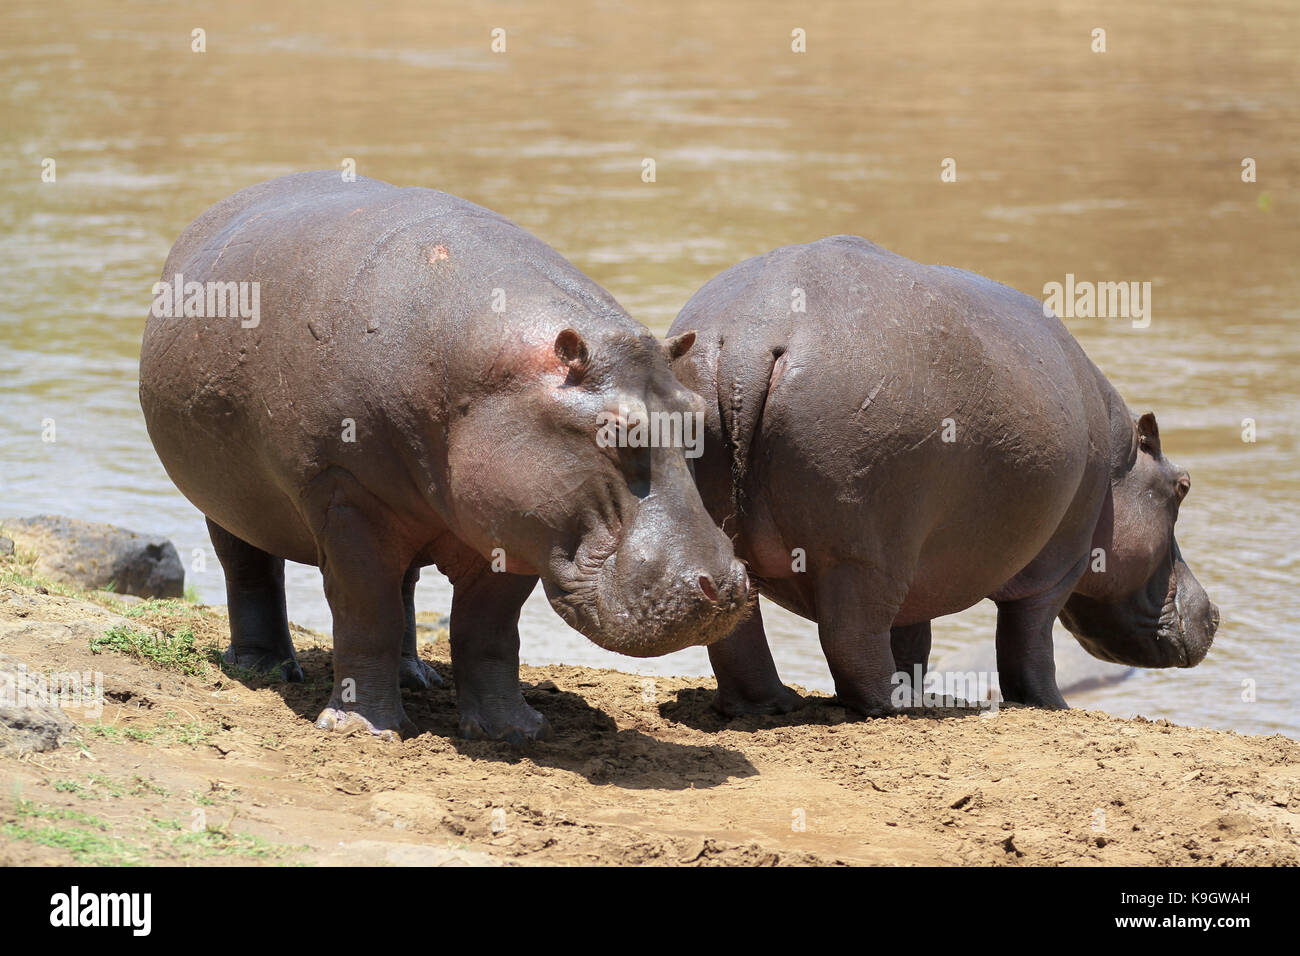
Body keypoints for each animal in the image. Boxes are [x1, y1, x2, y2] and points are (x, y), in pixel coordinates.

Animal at [139, 171, 749, 742]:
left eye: (698, 417)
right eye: (616, 432)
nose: (728, 587)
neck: (487, 383)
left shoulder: (517, 526)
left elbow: (488, 629)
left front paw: (513, 730)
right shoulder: (346, 495)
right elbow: (367, 611)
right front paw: (362, 730)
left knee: (405, 586)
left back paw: (415, 677)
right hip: (228, 501)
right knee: (250, 571)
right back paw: (267, 669)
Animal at [668, 236, 1218, 716]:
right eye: (1183, 486)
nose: (1214, 614)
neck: (1122, 471)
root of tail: (751, 342)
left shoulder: (924, 569)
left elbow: (914, 638)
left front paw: (914, 685)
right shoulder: (1059, 564)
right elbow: (1028, 643)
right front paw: (1052, 705)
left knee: (740, 628)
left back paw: (773, 705)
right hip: (866, 552)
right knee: (849, 635)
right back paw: (890, 707)